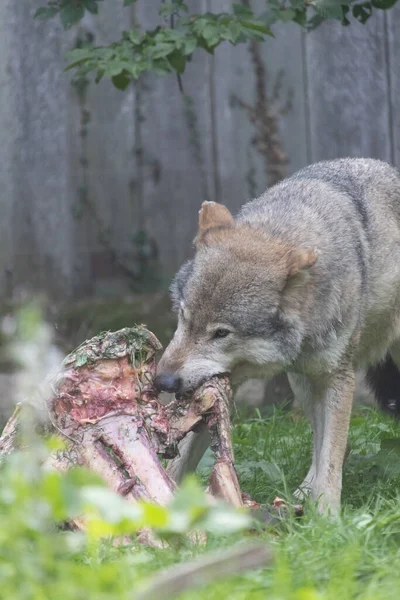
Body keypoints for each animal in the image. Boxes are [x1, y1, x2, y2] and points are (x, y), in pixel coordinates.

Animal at [155, 158, 400, 510]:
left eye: (221, 333)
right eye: (183, 317)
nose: (162, 381)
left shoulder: (339, 377)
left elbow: (331, 457)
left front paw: (328, 515)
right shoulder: (223, 387)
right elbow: (180, 459)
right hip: (303, 382)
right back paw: (303, 492)